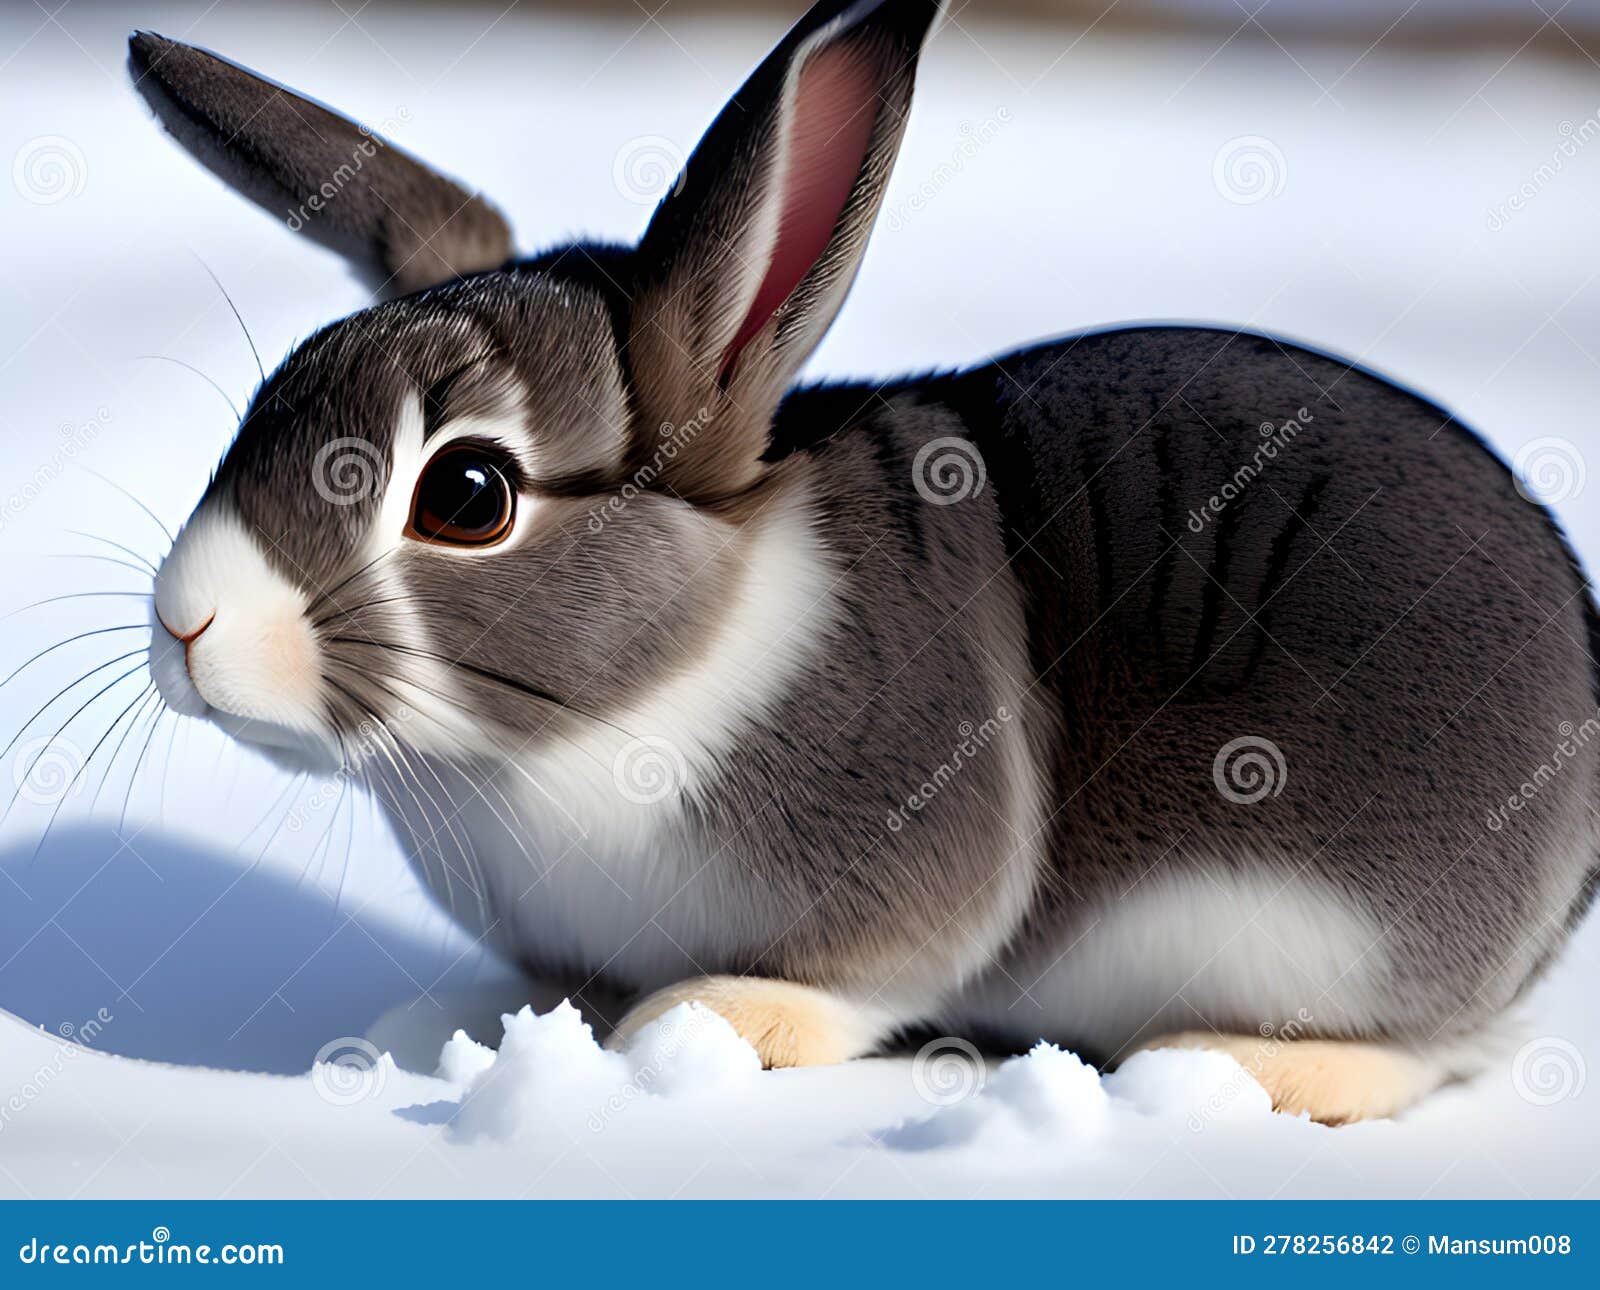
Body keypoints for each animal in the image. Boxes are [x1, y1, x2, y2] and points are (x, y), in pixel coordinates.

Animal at [123, 0, 1600, 1125]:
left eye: (469, 494)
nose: (190, 625)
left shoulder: (915, 880)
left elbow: (870, 982)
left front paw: (716, 1019)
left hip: (1345, 921)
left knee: (1430, 1048)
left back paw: (1234, 1066)